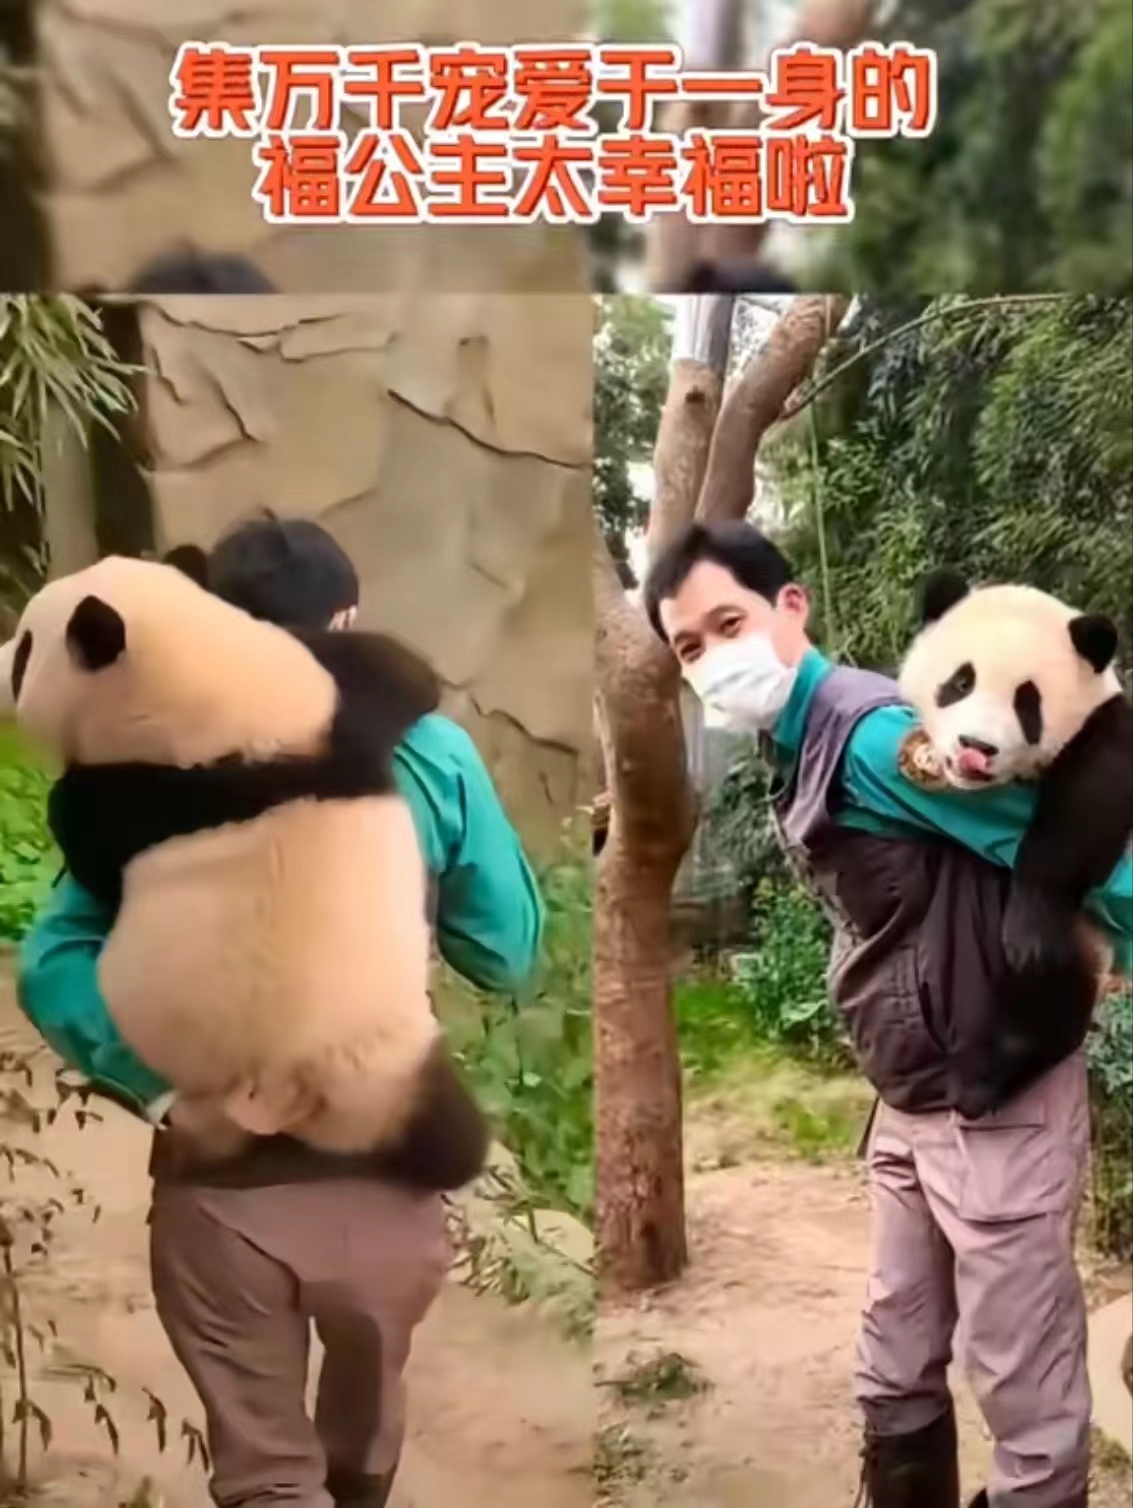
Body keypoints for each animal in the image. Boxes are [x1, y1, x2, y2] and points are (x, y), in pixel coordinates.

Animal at [899, 568, 1133, 1111]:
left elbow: (1091, 800)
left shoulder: (1107, 726)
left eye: (1028, 703)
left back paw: (984, 1075)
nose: (976, 748)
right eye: (961, 682)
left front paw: (1029, 929)